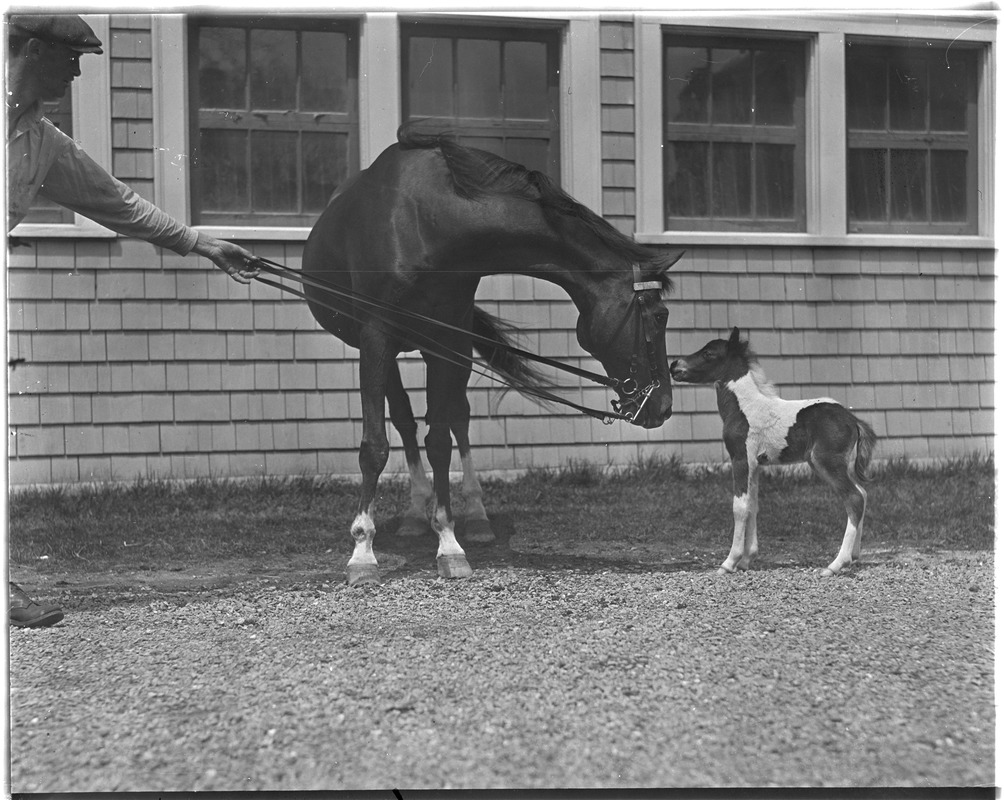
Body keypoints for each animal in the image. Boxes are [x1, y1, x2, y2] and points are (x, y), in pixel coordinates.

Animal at [302, 127, 683, 586]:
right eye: (659, 316)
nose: (663, 405)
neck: (429, 224)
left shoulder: (447, 342)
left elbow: (441, 443)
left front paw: (449, 541)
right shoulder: (375, 338)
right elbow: (375, 446)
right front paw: (362, 550)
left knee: (457, 420)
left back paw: (475, 517)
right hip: (385, 350)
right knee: (404, 420)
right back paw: (413, 512)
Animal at [669, 327, 877, 577]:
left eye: (709, 353)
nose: (674, 365)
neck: (746, 407)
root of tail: (853, 420)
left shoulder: (741, 459)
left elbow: (739, 507)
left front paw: (729, 562)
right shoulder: (756, 465)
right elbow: (753, 506)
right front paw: (746, 560)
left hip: (826, 463)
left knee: (854, 498)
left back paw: (836, 564)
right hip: (839, 465)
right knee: (862, 494)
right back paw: (853, 557)